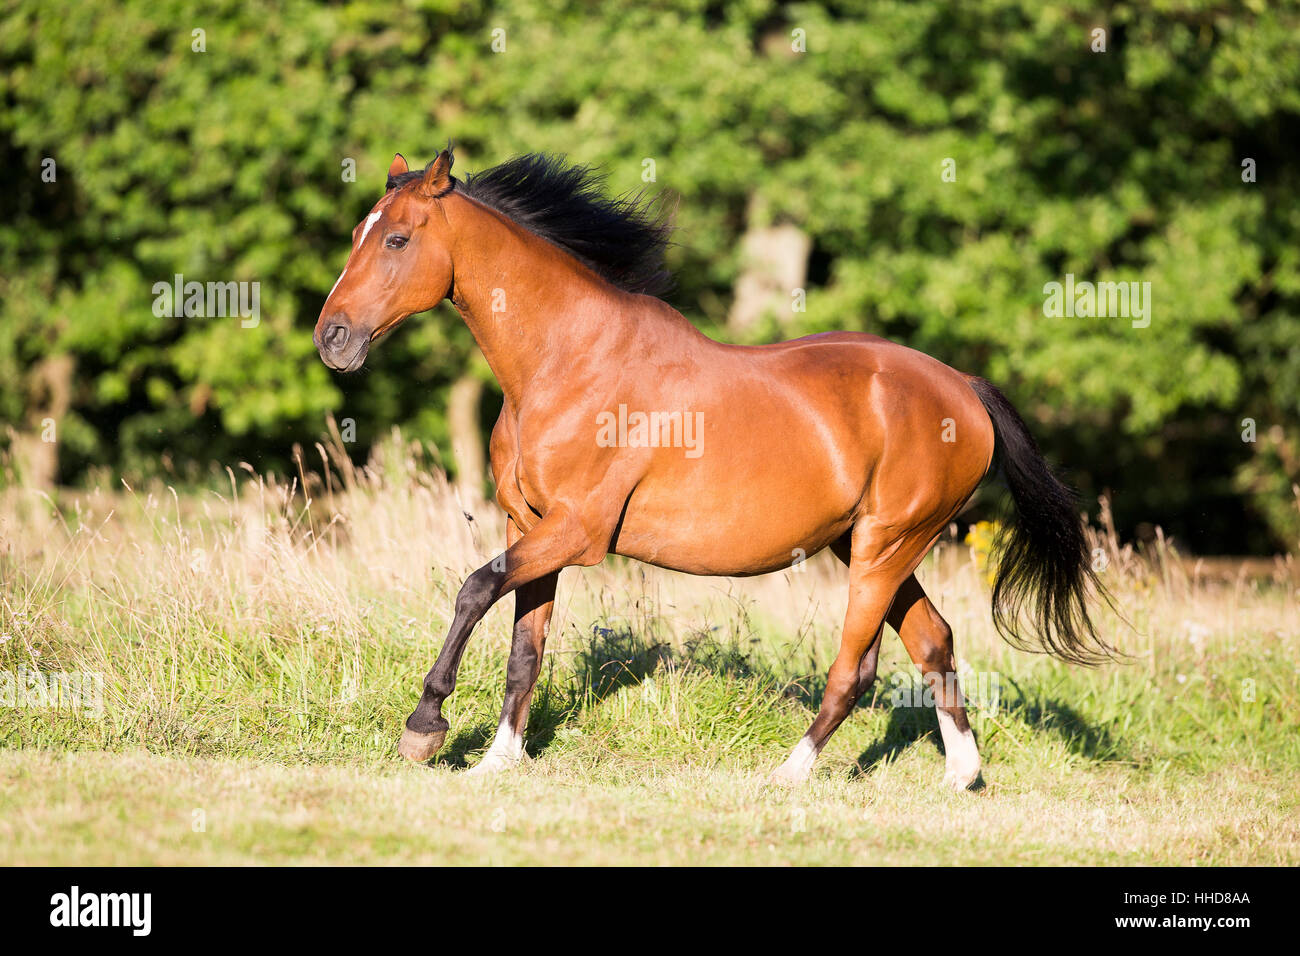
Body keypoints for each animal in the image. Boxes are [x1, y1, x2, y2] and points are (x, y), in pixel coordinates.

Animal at [313, 148, 1113, 789]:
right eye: (356, 234)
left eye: (396, 237)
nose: (333, 339)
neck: (566, 363)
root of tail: (964, 392)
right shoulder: (529, 526)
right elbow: (524, 648)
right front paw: (496, 762)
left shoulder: (578, 533)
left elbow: (473, 590)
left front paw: (425, 728)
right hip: (871, 545)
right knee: (934, 639)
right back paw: (960, 775)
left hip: (885, 547)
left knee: (856, 669)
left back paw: (789, 774)